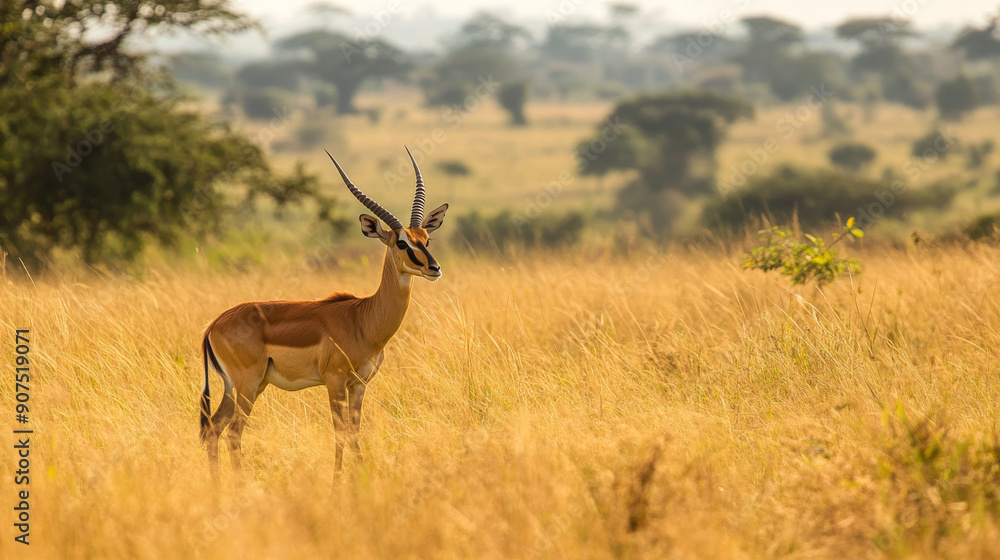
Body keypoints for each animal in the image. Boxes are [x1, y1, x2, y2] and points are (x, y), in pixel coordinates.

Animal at [199, 147, 449, 477]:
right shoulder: (335, 381)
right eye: (401, 242)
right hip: (247, 385)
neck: (363, 319)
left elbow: (354, 432)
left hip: (240, 387)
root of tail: (214, 324)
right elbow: (340, 433)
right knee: (232, 432)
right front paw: (338, 482)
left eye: (426, 239)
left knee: (213, 428)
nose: (434, 268)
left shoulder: (359, 384)